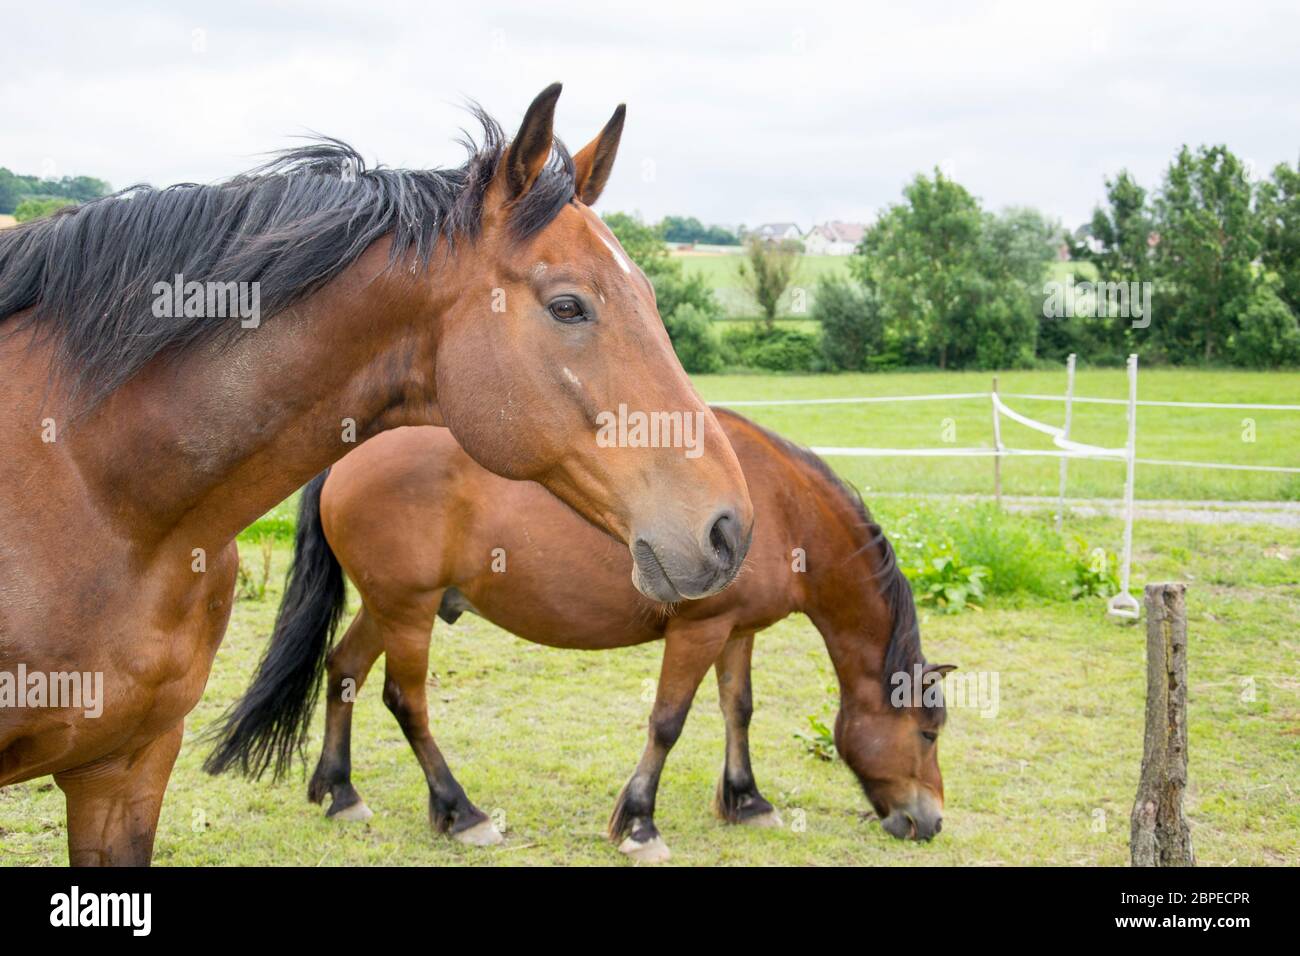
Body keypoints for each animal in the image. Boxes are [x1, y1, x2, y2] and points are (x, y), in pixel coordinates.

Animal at [214, 408, 954, 862]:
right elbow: (668, 722)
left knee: (343, 670)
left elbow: (737, 710)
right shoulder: (700, 629)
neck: (778, 504)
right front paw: (640, 823)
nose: (930, 822)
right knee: (406, 701)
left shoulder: (736, 631)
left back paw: (340, 792)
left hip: (388, 605)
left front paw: (746, 801)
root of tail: (351, 454)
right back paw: (461, 811)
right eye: (927, 733)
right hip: (408, 611)